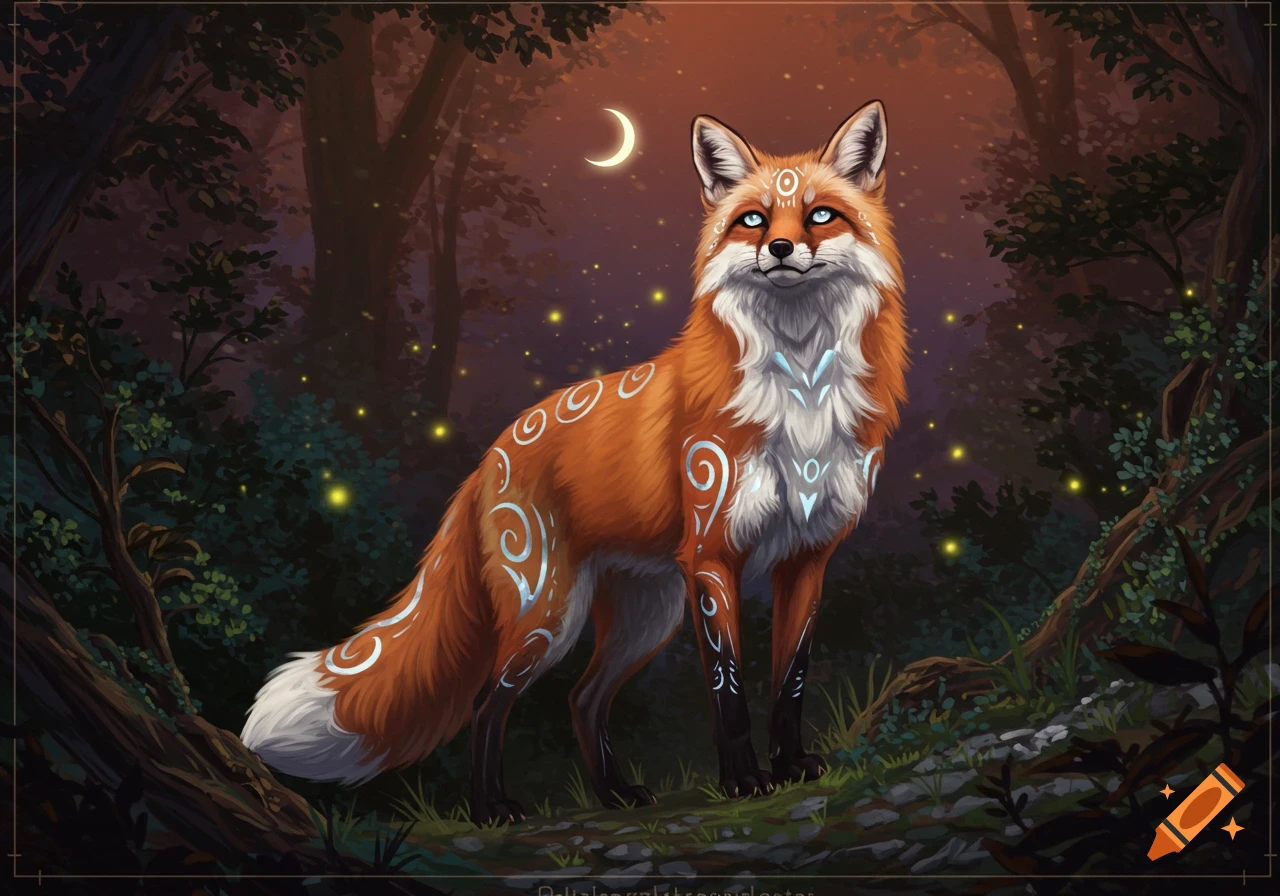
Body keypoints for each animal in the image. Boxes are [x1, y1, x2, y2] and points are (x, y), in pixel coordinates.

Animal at [241, 100, 907, 825]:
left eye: (821, 216)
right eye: (754, 220)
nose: (780, 249)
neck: (802, 387)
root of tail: (488, 459)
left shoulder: (806, 560)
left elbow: (790, 683)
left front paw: (790, 768)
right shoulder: (712, 558)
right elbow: (727, 691)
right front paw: (742, 781)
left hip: (647, 617)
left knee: (580, 699)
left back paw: (614, 793)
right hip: (550, 613)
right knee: (489, 705)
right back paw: (491, 807)